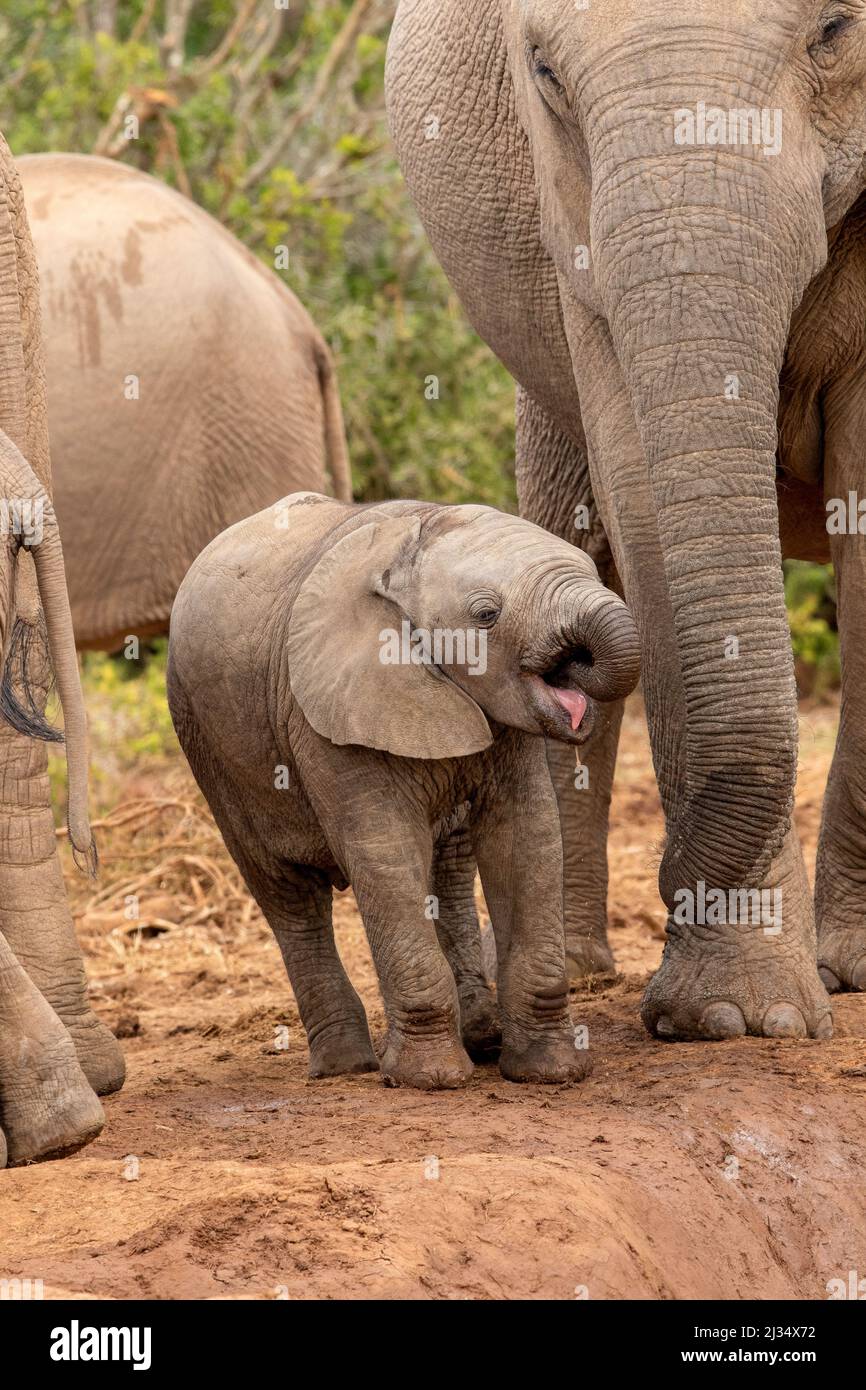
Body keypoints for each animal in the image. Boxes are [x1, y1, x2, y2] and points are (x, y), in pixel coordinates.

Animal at [166, 492, 640, 1089]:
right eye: (487, 614)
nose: (580, 659)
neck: (412, 534)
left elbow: (527, 838)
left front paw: (550, 1071)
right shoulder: (328, 709)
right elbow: (385, 850)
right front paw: (430, 1079)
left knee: (449, 863)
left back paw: (479, 1036)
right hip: (207, 745)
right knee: (288, 895)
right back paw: (346, 1066)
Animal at [385, 0, 866, 1041]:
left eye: (836, 33)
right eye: (544, 71)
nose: (676, 879)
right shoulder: (574, 218)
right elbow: (639, 483)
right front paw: (737, 1019)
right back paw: (572, 965)